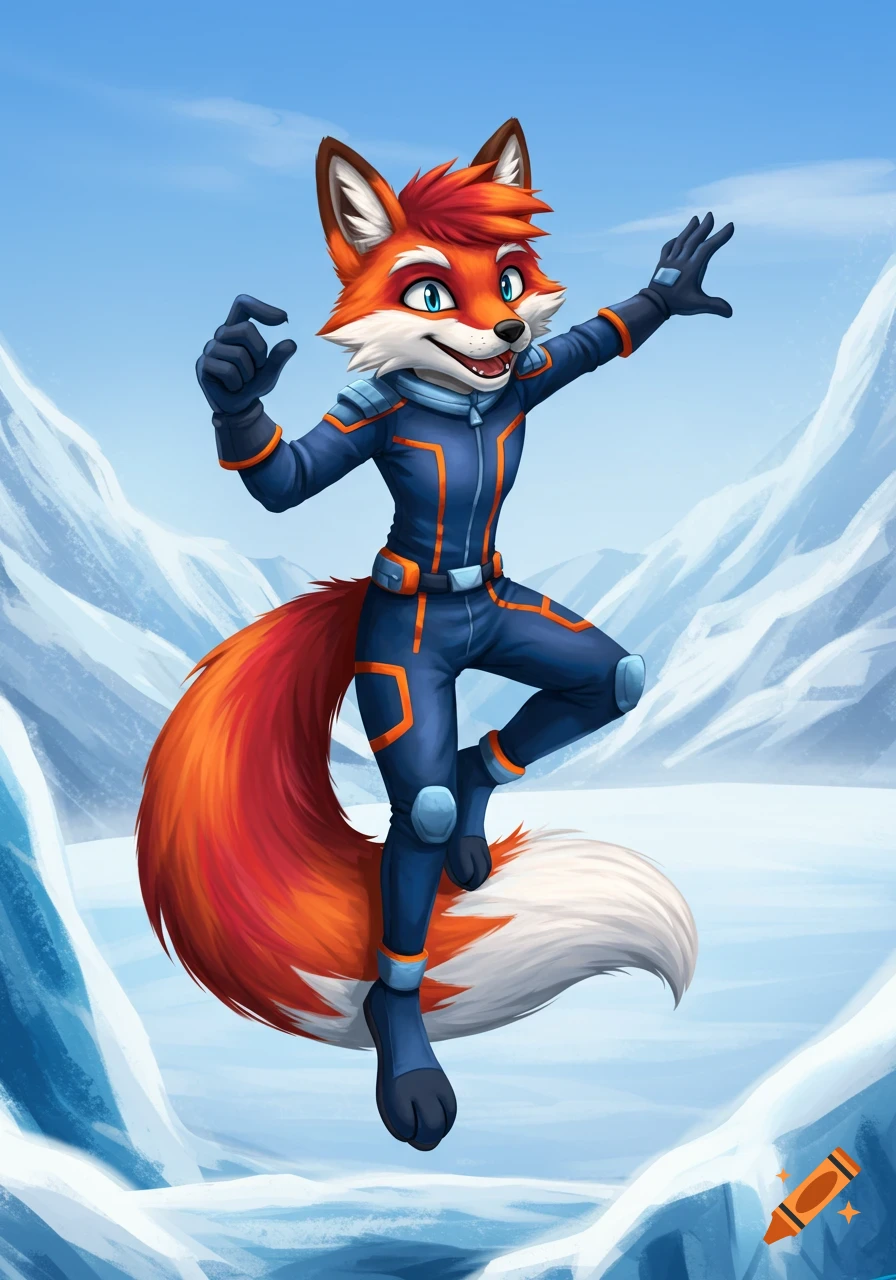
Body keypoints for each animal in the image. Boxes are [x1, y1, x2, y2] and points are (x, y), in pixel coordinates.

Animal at [137, 120, 734, 1152]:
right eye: (429, 293)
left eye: (510, 280)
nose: (507, 333)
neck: (467, 402)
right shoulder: (369, 420)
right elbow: (290, 476)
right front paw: (235, 377)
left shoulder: (532, 382)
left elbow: (591, 343)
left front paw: (672, 283)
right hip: (403, 665)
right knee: (418, 805)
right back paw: (404, 1021)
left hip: (518, 627)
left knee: (598, 686)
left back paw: (470, 812)